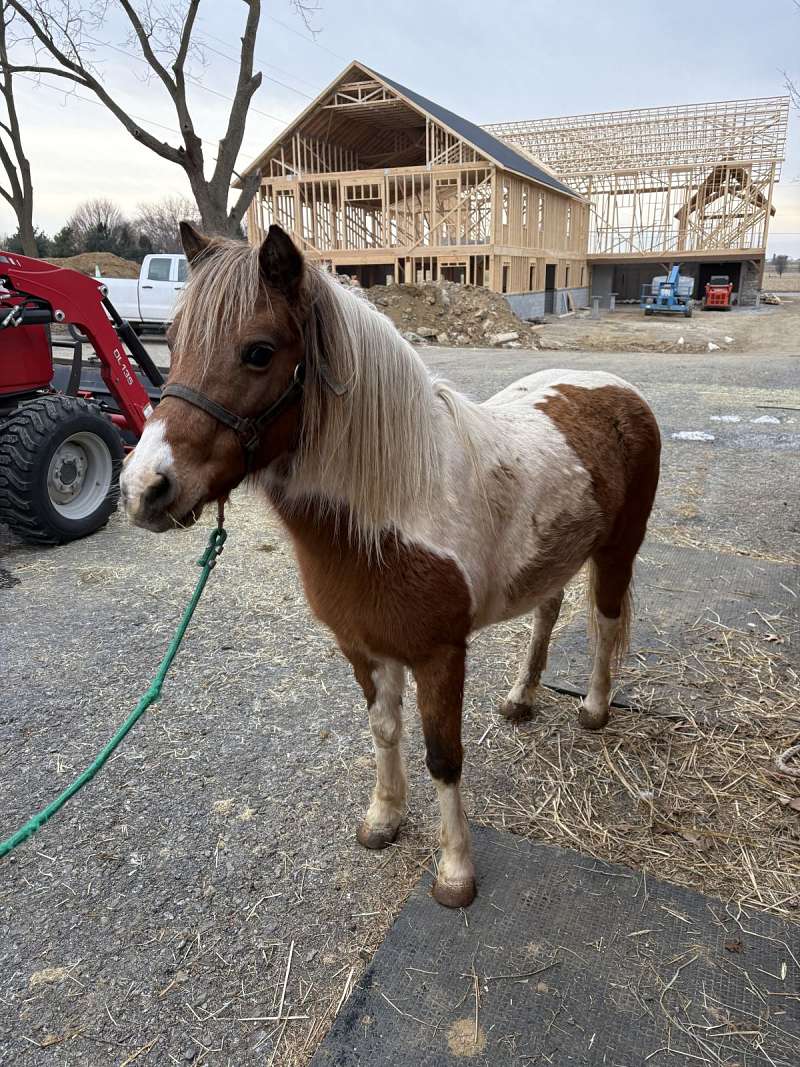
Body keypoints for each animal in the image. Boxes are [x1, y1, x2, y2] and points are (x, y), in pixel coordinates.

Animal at [120, 223, 661, 909]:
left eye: (259, 353)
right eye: (175, 340)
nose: (143, 488)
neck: (395, 508)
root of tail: (615, 386)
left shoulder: (438, 655)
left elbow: (443, 756)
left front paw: (455, 873)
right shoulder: (363, 646)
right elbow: (384, 731)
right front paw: (384, 818)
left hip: (617, 551)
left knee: (604, 622)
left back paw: (593, 708)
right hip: (552, 555)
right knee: (547, 610)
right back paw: (520, 697)